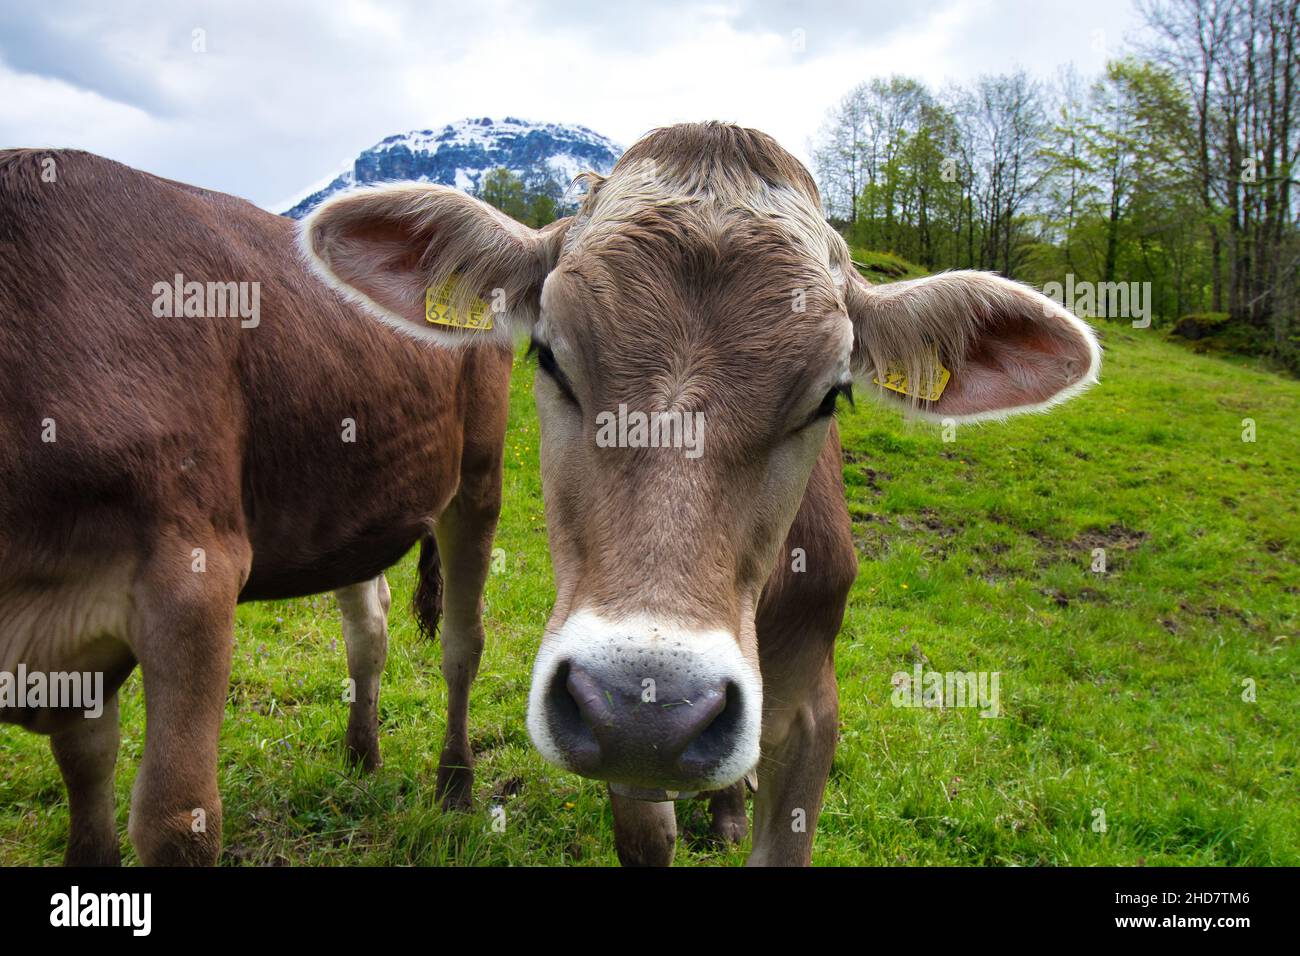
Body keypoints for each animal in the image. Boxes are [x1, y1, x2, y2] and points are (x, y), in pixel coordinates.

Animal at [0, 149, 514, 865]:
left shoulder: (192, 582)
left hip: (478, 476)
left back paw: (456, 785)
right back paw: (361, 754)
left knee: (463, 642)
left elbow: (175, 819)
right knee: (369, 628)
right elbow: (85, 770)